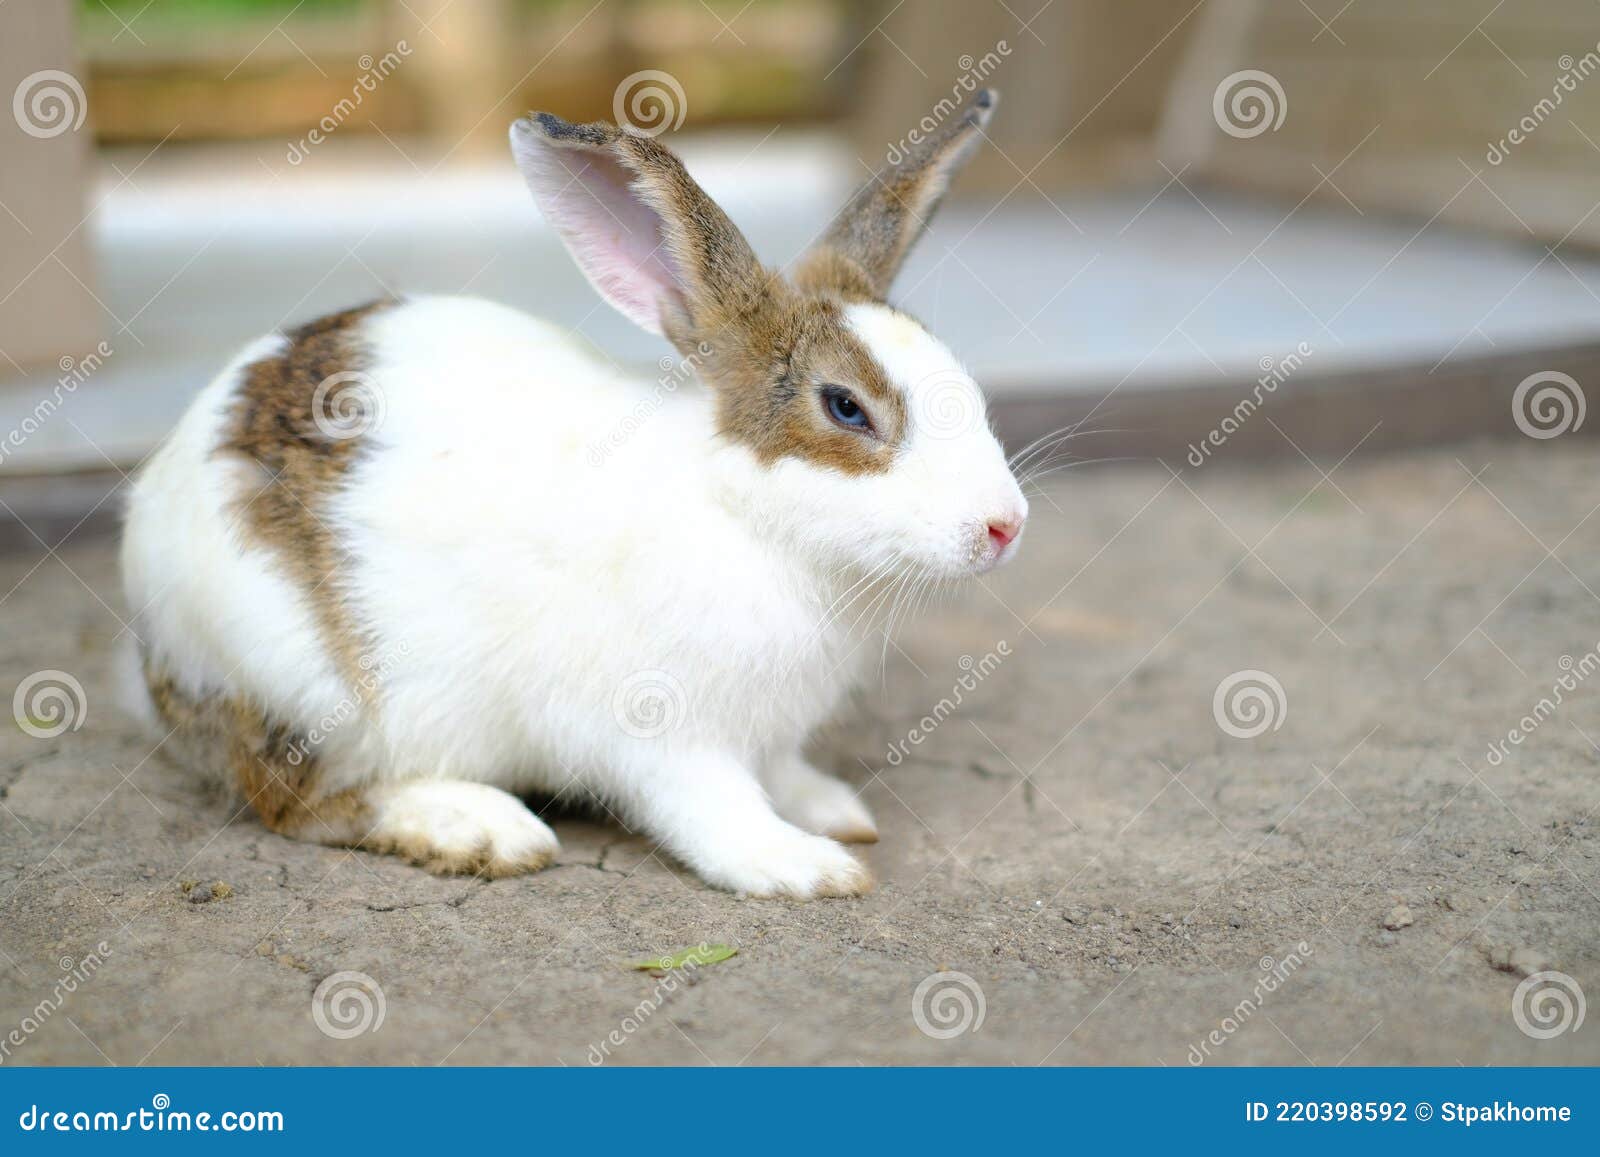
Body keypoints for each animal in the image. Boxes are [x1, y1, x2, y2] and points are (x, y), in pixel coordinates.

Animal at [119, 88, 1027, 899]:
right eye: (845, 406)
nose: (1005, 526)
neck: (746, 518)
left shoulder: (765, 734)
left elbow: (779, 773)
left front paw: (833, 810)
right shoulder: (662, 736)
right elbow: (713, 810)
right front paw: (805, 866)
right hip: (305, 688)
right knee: (296, 804)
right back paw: (481, 827)